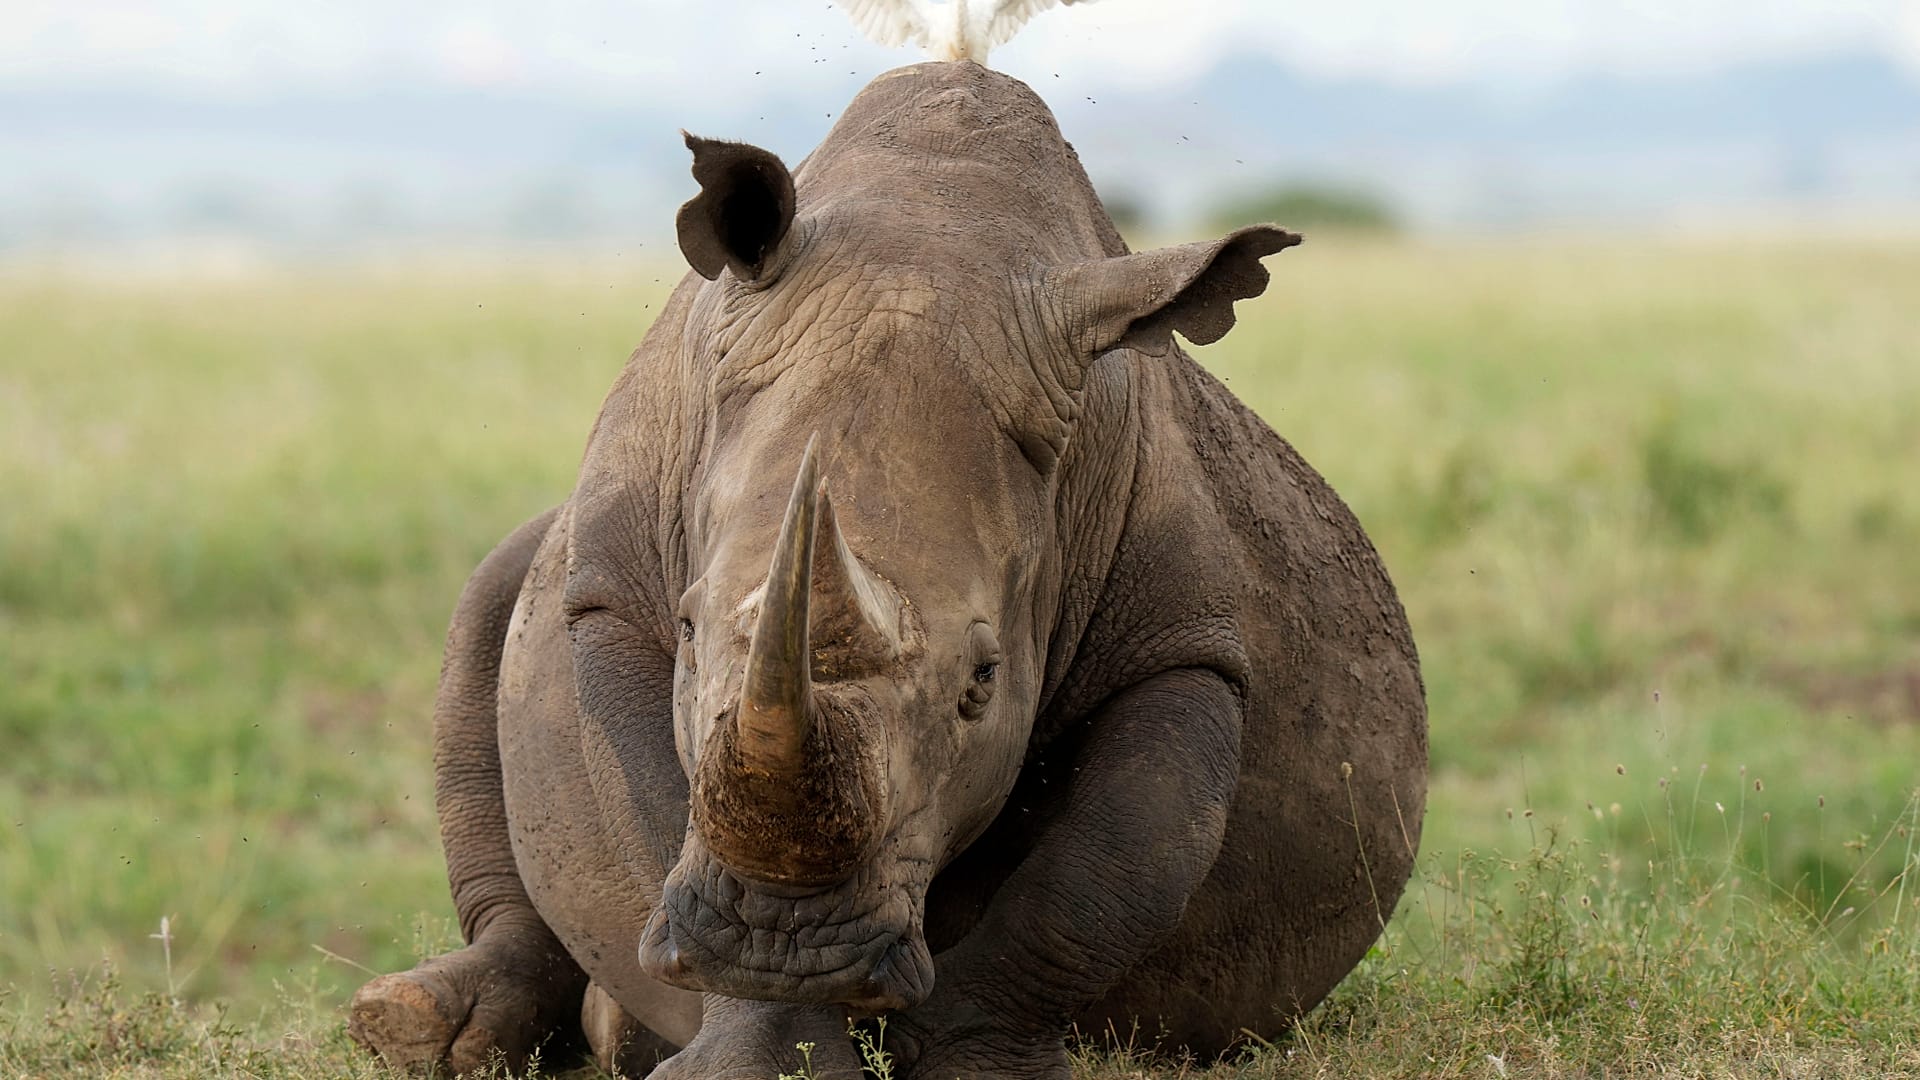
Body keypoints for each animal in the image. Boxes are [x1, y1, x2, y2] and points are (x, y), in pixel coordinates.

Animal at [348, 61, 1426, 1080]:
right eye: (689, 631)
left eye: (983, 683)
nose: (783, 945)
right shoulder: (607, 595)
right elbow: (650, 808)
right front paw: (760, 1052)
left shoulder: (1183, 645)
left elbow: (1102, 875)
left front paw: (960, 1059)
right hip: (540, 560)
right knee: (485, 614)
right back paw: (419, 1028)